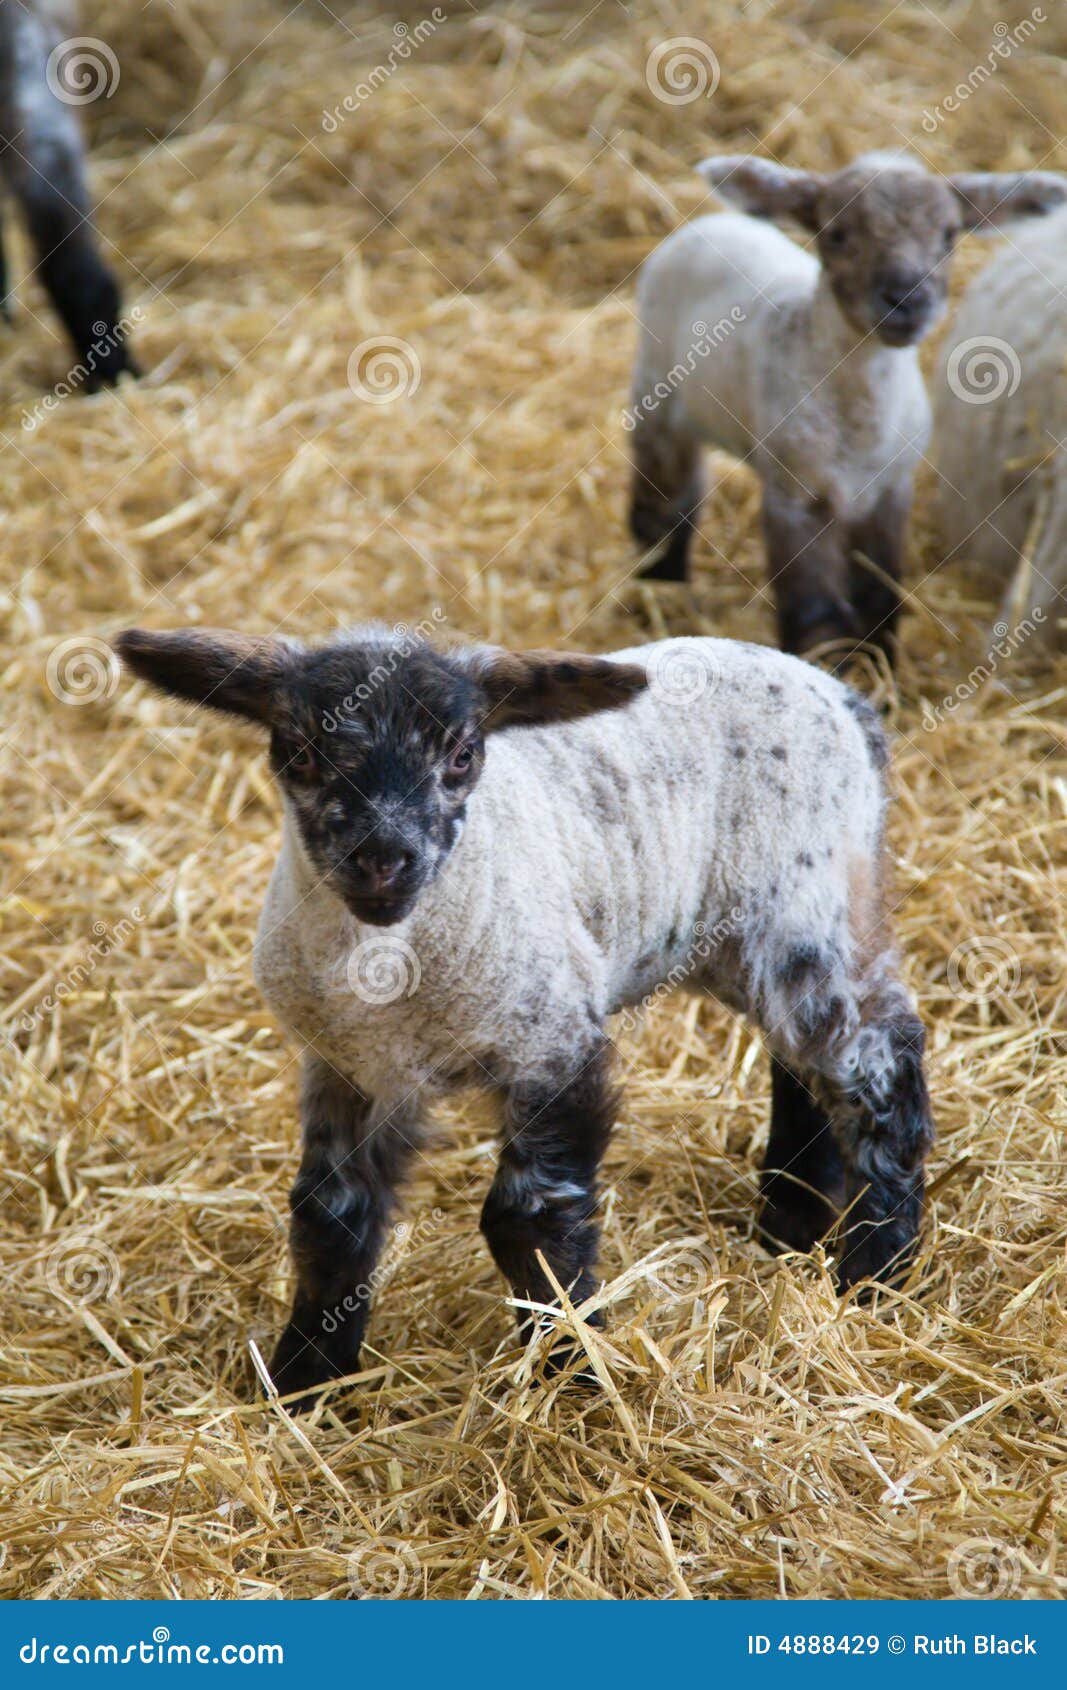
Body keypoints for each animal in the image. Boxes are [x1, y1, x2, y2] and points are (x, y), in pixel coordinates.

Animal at [115, 623, 934, 1410]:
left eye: (463, 754)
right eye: (300, 751)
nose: (382, 858)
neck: (387, 965)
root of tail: (841, 696)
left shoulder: (554, 1043)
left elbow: (526, 1219)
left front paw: (573, 1372)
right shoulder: (351, 1068)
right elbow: (329, 1217)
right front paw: (304, 1383)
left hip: (807, 907)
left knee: (877, 1055)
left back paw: (872, 1273)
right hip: (743, 942)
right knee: (799, 1060)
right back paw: (791, 1225)